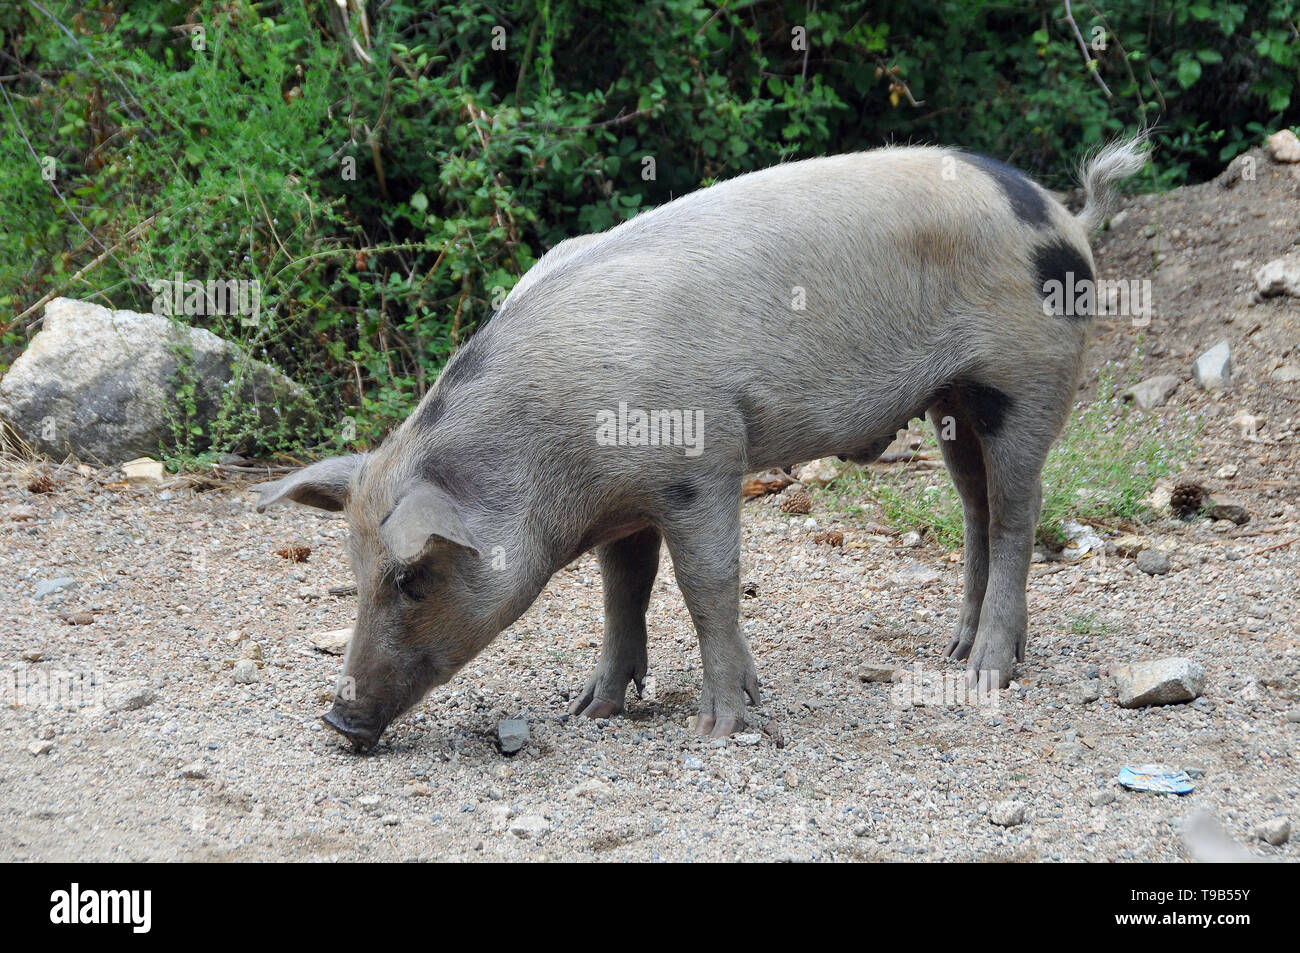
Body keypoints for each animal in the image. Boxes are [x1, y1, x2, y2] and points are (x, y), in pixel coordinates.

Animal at [256, 137, 1148, 752]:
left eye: (412, 578)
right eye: (356, 570)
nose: (337, 721)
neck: (554, 454)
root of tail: (1066, 215)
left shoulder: (701, 461)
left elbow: (707, 585)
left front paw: (723, 726)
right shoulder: (624, 503)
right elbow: (624, 593)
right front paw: (590, 709)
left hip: (1025, 378)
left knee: (1017, 512)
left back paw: (984, 671)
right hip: (951, 400)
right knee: (973, 505)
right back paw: (953, 647)